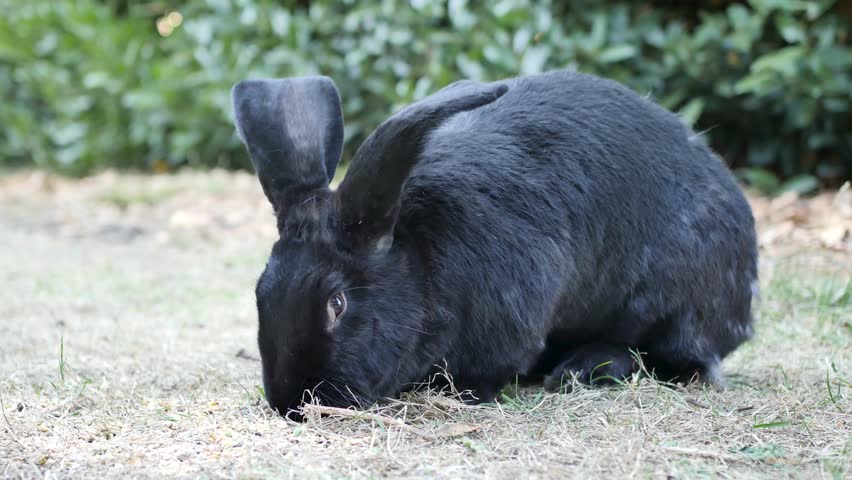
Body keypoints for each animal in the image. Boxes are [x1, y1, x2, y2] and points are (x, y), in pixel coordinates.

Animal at [231, 70, 757, 418]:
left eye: (337, 304)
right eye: (260, 292)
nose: (292, 402)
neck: (422, 261)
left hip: (674, 309)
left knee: (667, 357)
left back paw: (582, 369)